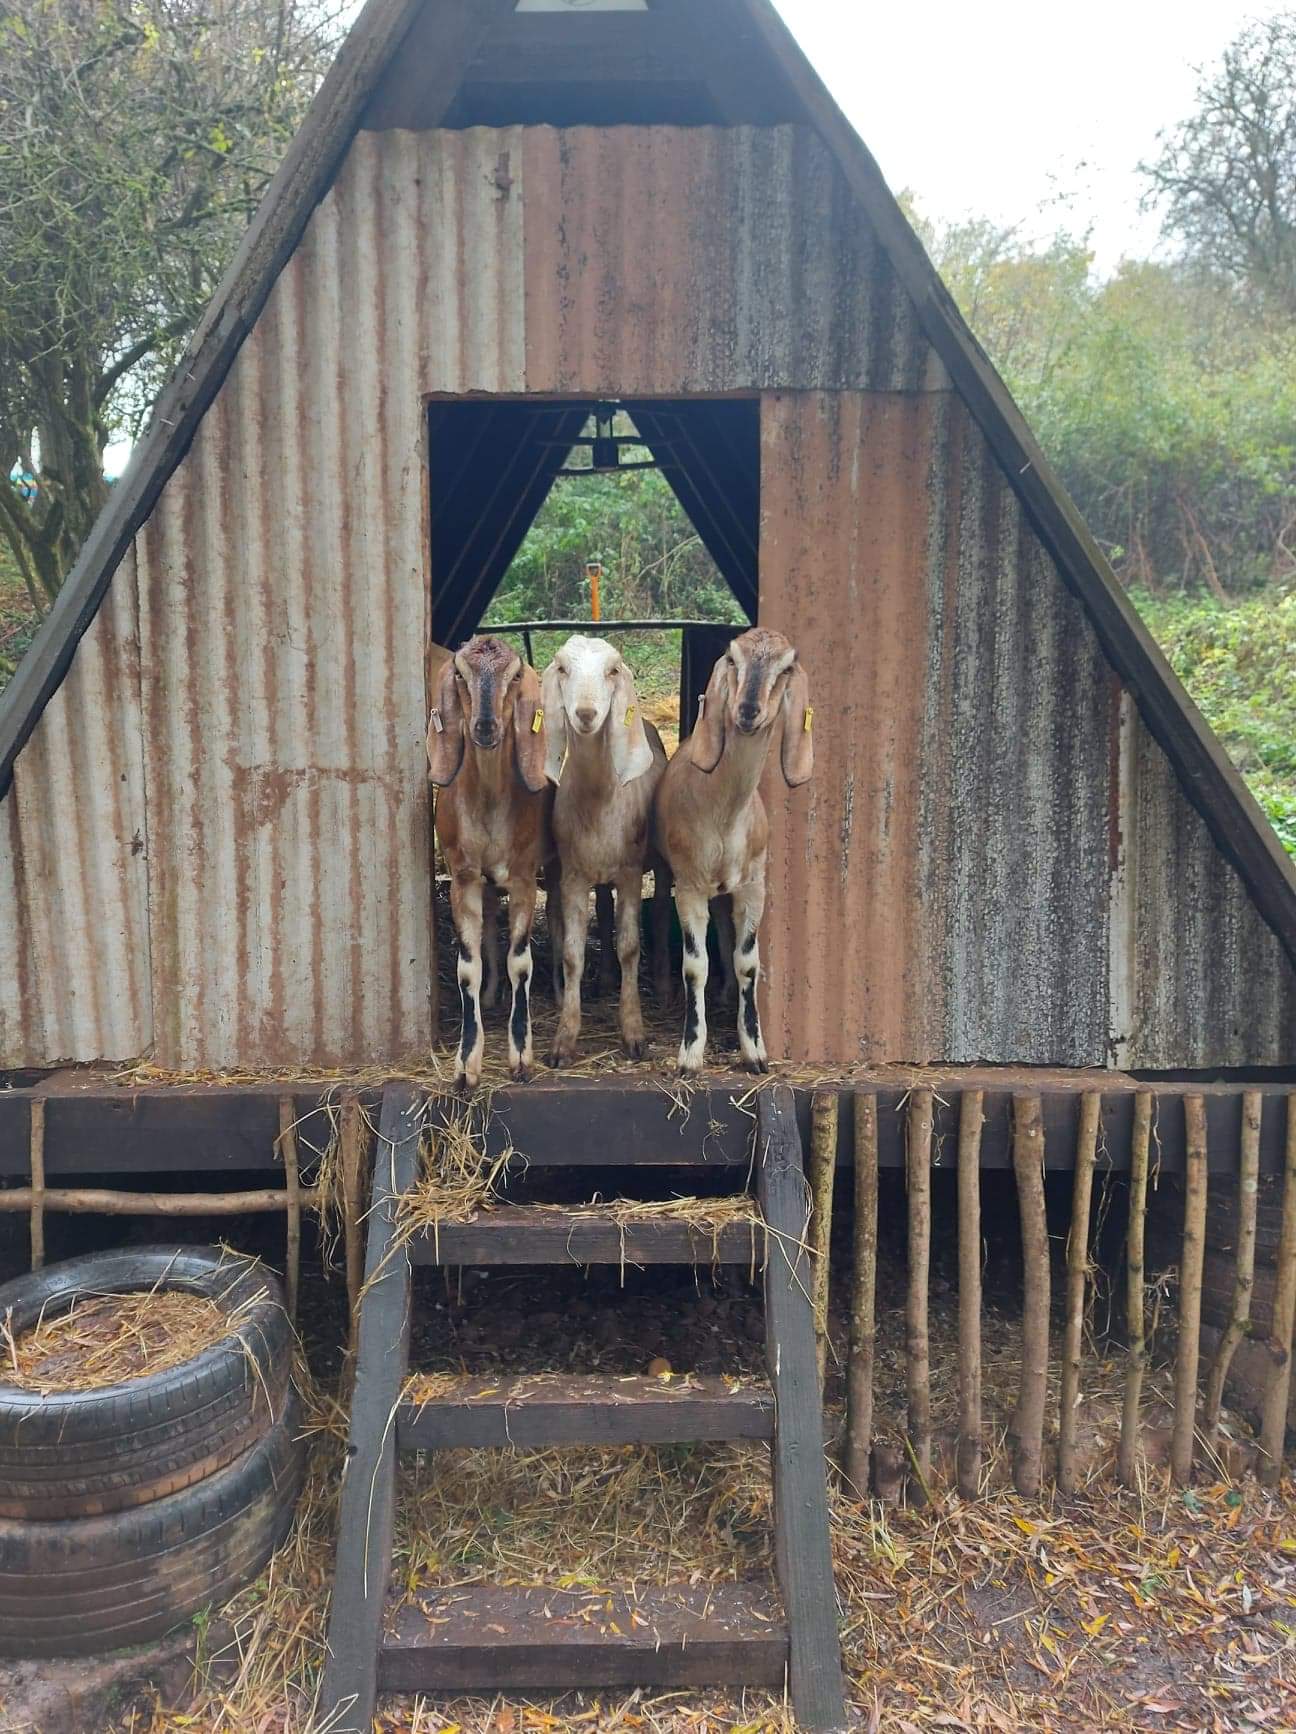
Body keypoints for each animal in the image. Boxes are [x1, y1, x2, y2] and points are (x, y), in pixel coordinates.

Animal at [427, 636, 549, 1088]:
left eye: (514, 677)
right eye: (461, 675)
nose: (484, 726)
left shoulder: (525, 877)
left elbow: (521, 962)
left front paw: (522, 1056)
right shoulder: (464, 877)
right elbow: (468, 966)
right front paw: (466, 1064)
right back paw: (493, 995)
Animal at [541, 635, 668, 1066]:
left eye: (612, 670)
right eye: (563, 668)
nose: (585, 713)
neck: (599, 798)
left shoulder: (630, 873)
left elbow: (630, 946)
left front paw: (633, 1033)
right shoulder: (573, 876)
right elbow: (572, 953)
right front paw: (564, 1039)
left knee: (660, 911)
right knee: (605, 908)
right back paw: (607, 979)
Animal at [652, 627, 814, 1074]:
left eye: (786, 666)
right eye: (731, 657)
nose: (747, 710)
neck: (722, 814)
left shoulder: (753, 886)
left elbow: (748, 961)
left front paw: (754, 1051)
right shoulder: (689, 886)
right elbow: (695, 965)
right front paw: (690, 1054)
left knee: (724, 928)